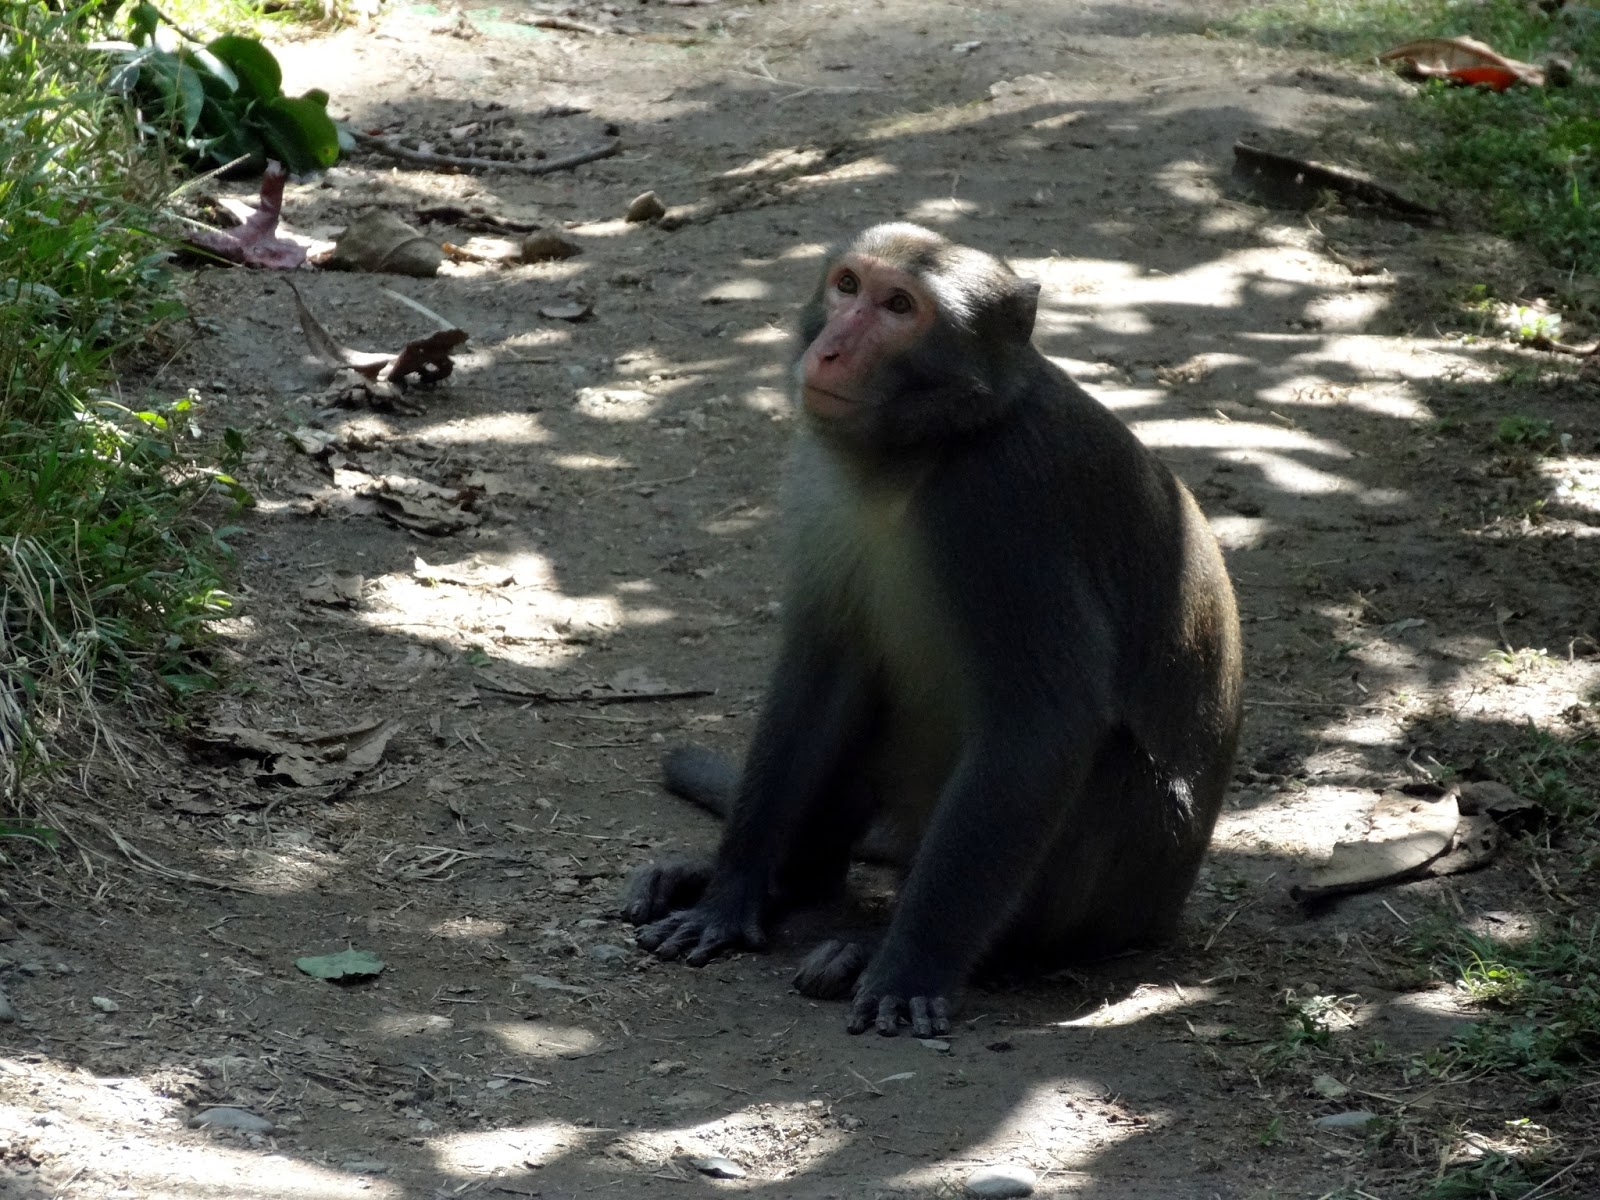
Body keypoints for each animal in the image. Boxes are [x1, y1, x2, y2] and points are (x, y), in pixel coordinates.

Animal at [620, 223, 1243, 1037]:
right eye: (848, 287)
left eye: (899, 307)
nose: (831, 350)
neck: (921, 454)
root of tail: (1167, 910)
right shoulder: (822, 478)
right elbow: (822, 674)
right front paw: (730, 897)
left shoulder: (1008, 507)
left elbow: (1041, 727)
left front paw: (910, 963)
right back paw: (793, 883)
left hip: (1122, 894)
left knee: (1097, 765)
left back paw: (925, 948)